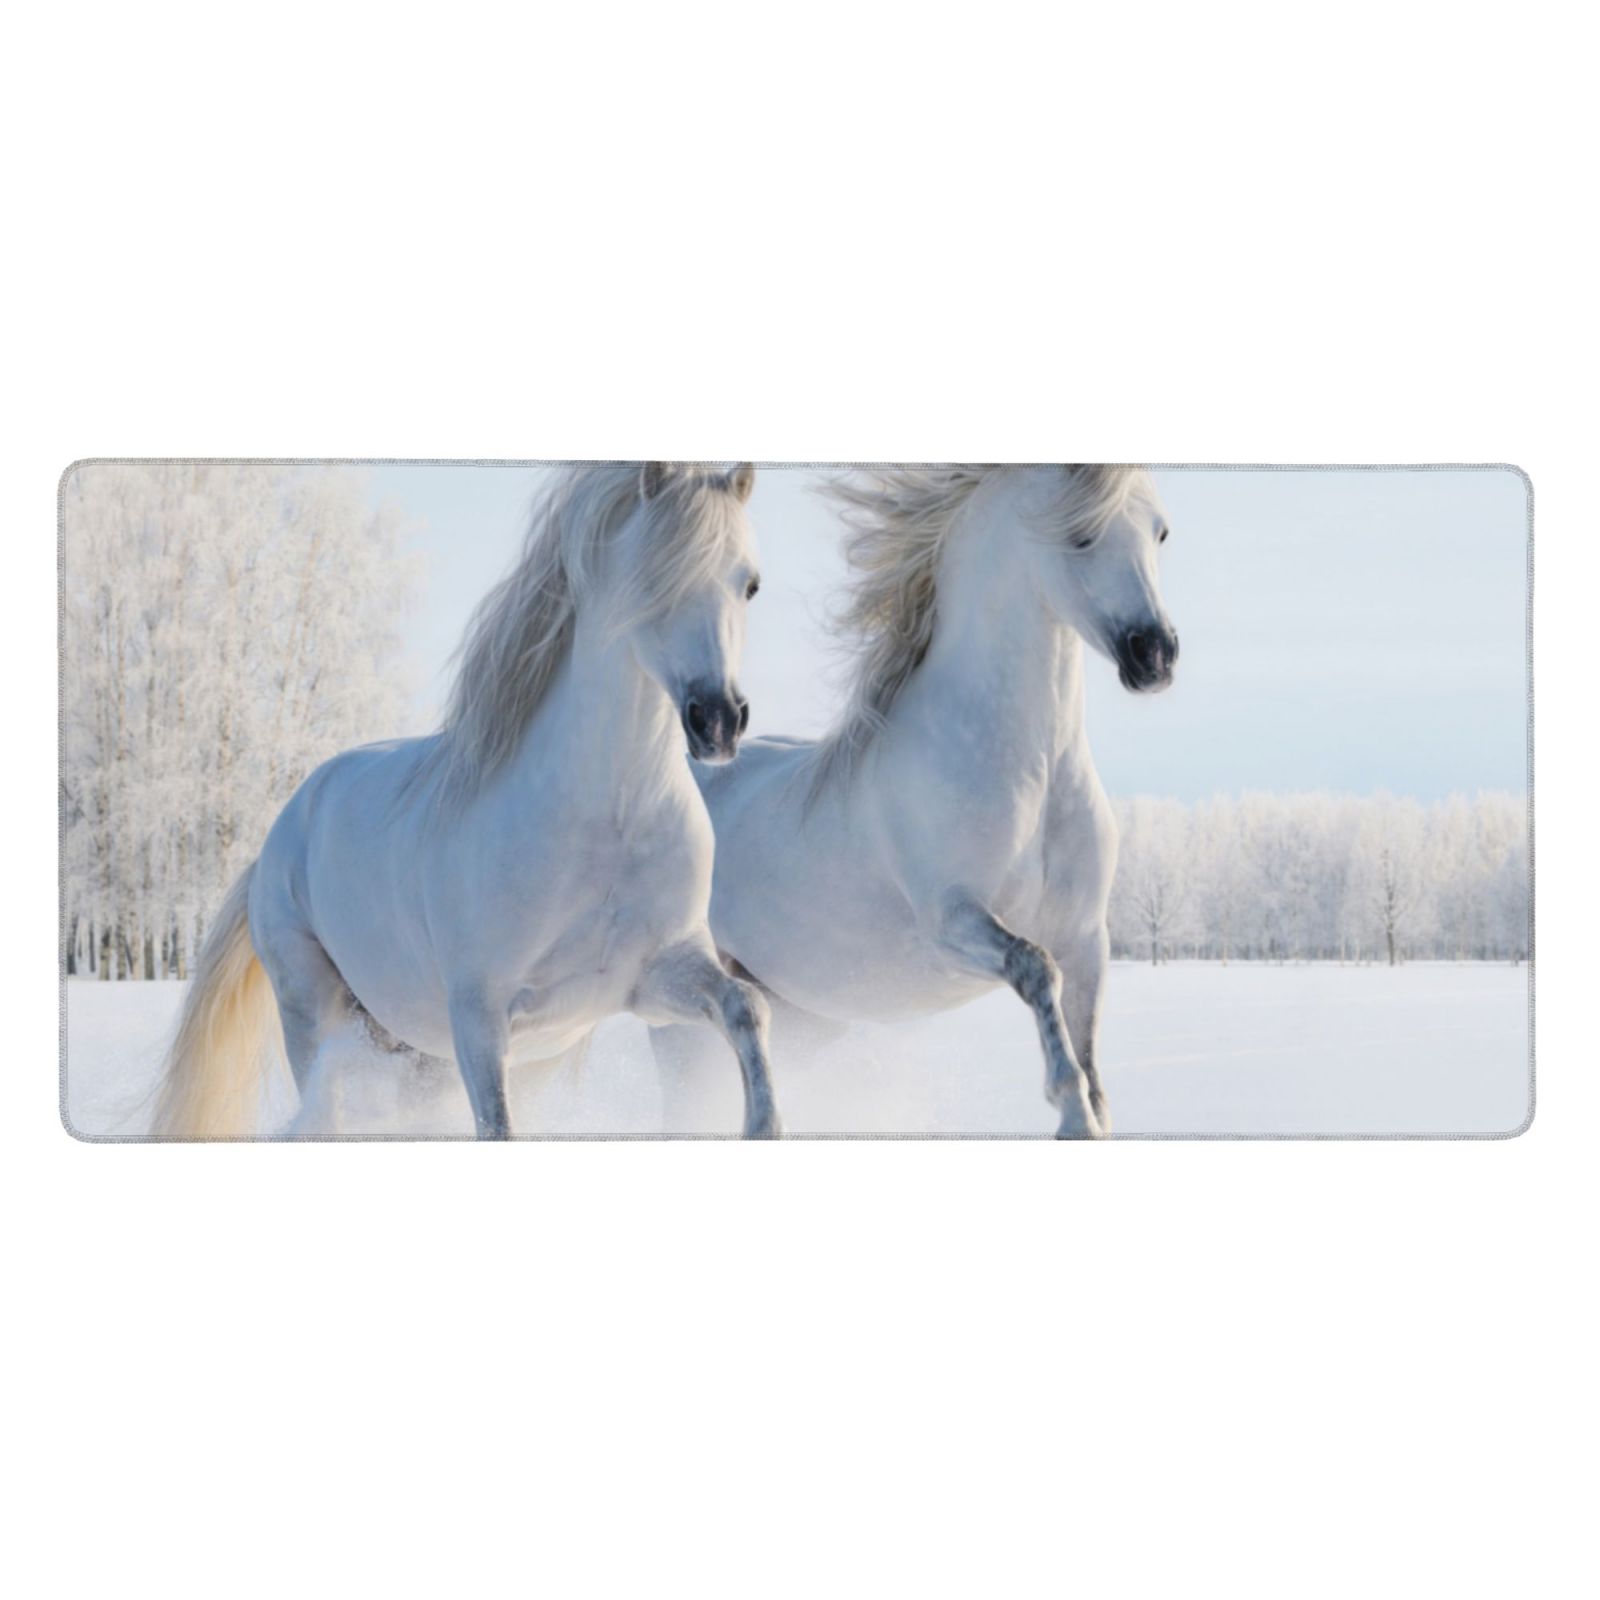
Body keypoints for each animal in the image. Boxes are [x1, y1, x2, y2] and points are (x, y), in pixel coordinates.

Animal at [153, 461, 782, 1140]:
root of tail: (278, 837)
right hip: (310, 1007)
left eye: (750, 584)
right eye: (654, 574)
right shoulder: (479, 1016)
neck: (608, 822)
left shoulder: (654, 978)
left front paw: (764, 1125)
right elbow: (497, 1126)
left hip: (411, 1049)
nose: (718, 720)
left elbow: (746, 1007)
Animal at [652, 465, 1178, 1138]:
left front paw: (1089, 1115)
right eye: (1080, 534)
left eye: (1160, 532)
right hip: (677, 1010)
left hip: (799, 1014)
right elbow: (1036, 969)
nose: (1155, 655)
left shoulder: (1088, 938)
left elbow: (1088, 1052)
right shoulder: (952, 920)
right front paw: (1069, 1114)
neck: (1034, 770)